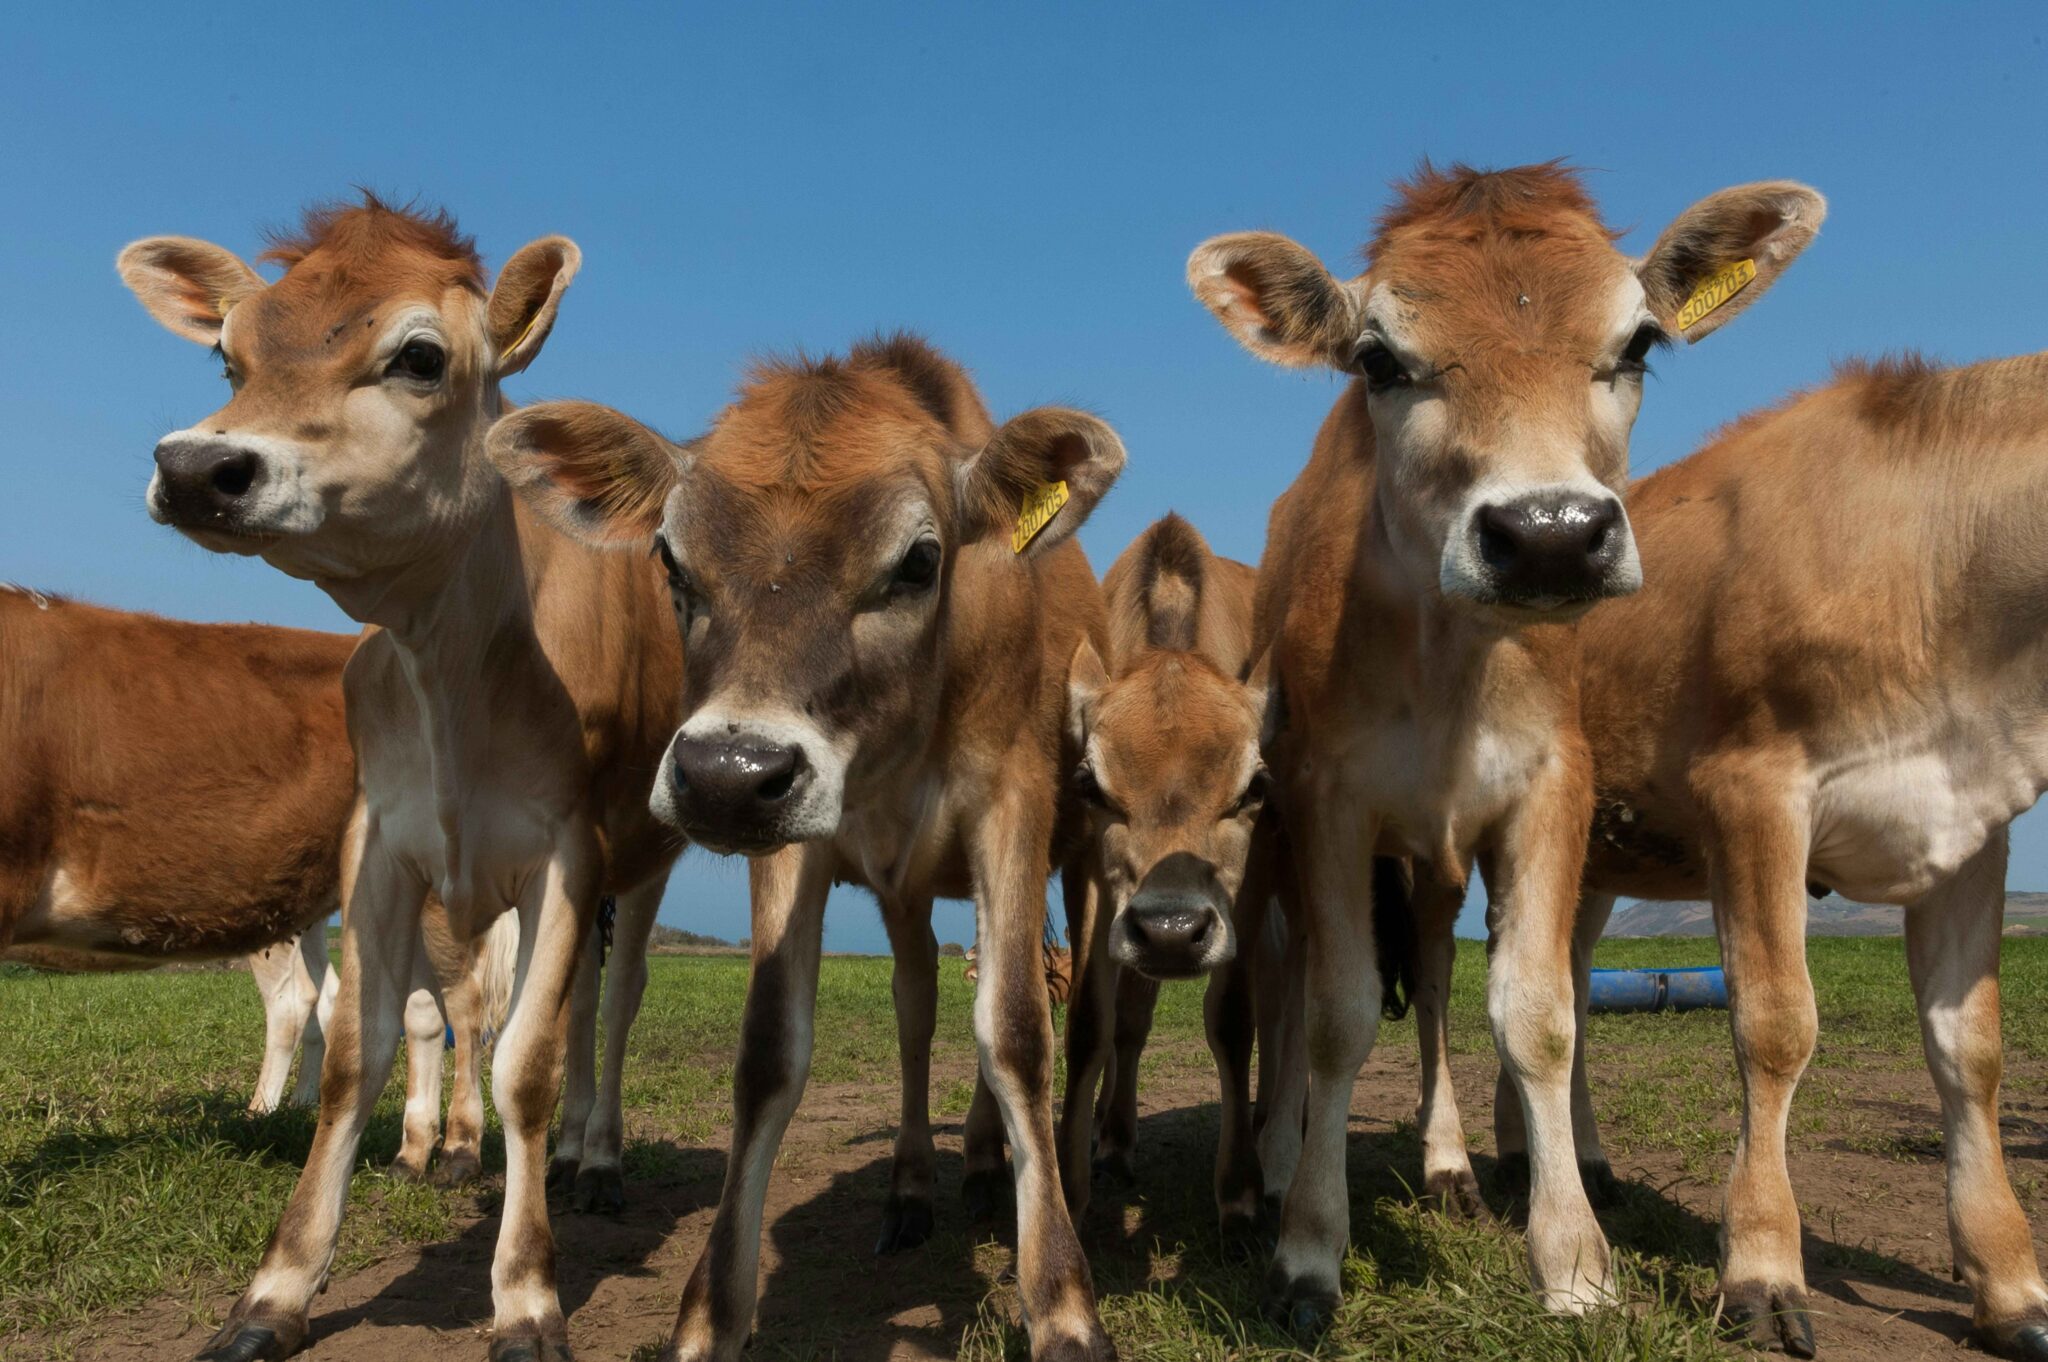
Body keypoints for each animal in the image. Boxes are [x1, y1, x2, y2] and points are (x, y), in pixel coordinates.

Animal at [118, 195, 683, 1362]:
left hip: (643, 858)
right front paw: (275, 1292)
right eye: (228, 354)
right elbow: (354, 1053)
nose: (196, 468)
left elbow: (524, 1065)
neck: (452, 662)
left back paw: (598, 1160)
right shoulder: (380, 842)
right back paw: (568, 1158)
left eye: (419, 357)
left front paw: (525, 1295)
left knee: (615, 1005)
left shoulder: (565, 851)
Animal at [485, 334, 1125, 1361]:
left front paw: (1063, 1303)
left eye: (919, 560)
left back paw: (1032, 1172)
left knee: (1062, 1009)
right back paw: (923, 1184)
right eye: (671, 559)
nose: (725, 773)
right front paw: (710, 1314)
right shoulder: (790, 844)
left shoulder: (1013, 805)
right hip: (903, 891)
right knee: (917, 1005)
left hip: (1075, 860)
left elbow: (1020, 1031)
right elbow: (770, 1055)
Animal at [1186, 161, 1822, 1330]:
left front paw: (1571, 1258)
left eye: (1638, 343)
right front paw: (1307, 1248)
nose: (1548, 535)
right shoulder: (1325, 800)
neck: (1449, 669)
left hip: (1438, 863)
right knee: (1295, 990)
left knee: (1438, 978)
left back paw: (1443, 1165)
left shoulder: (1547, 793)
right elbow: (1336, 1014)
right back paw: (1284, 1150)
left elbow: (1537, 1014)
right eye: (1378, 359)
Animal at [1407, 352, 2048, 1359]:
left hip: (1586, 845)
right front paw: (1762, 1270)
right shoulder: (1754, 791)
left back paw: (1553, 1157)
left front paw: (2008, 1282)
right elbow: (1776, 1027)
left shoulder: (1971, 827)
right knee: (1438, 984)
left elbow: (1970, 1053)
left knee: (1565, 974)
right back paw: (1450, 1169)